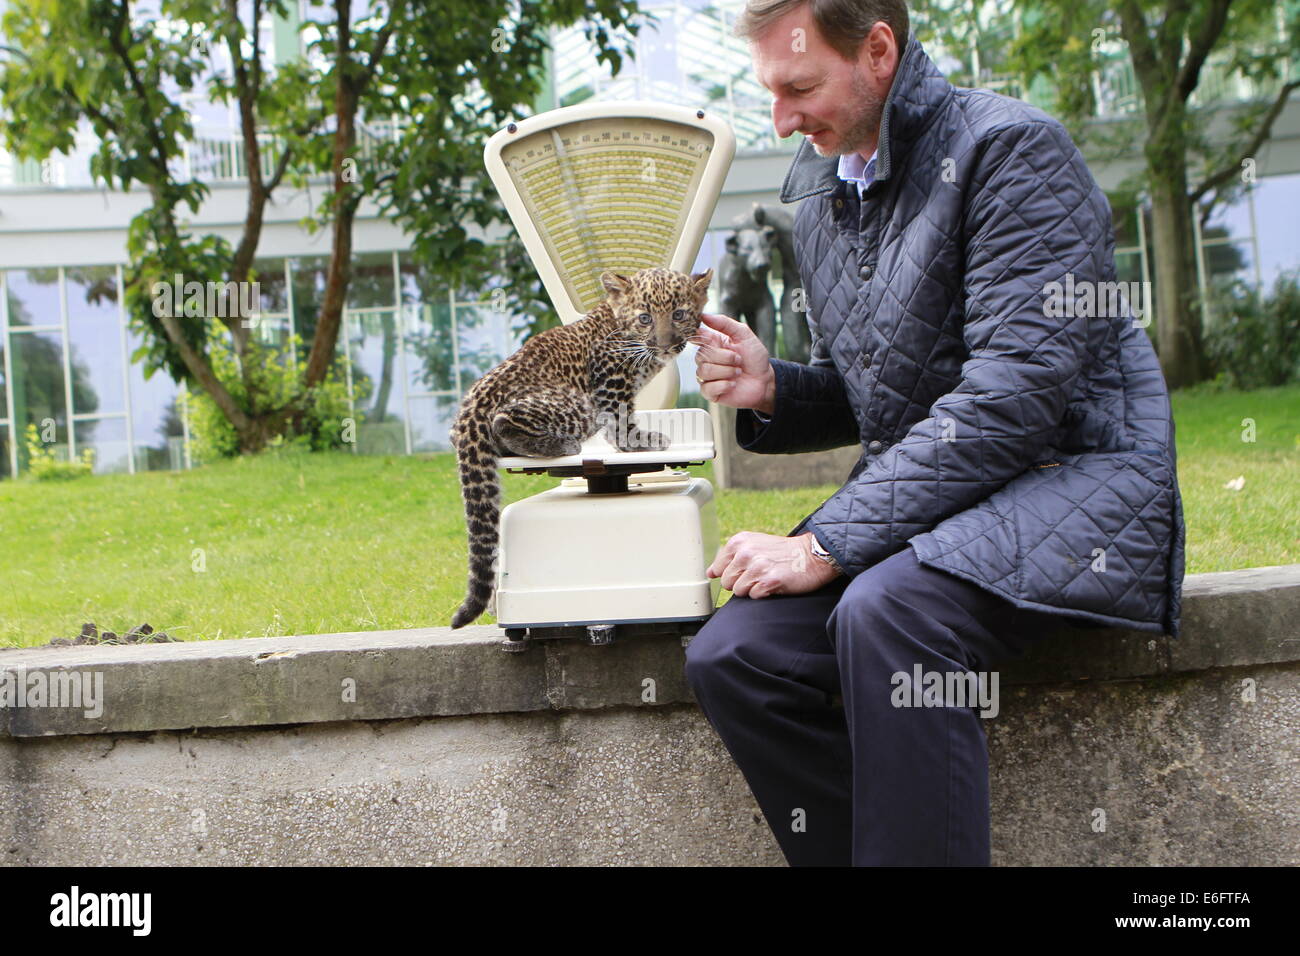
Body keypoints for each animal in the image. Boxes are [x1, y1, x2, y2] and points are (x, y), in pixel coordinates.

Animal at [449, 266, 713, 629]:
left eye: (679, 314)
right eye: (645, 318)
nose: (664, 344)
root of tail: (473, 404)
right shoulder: (611, 380)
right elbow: (620, 420)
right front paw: (640, 442)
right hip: (577, 405)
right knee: (502, 422)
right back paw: (561, 443)